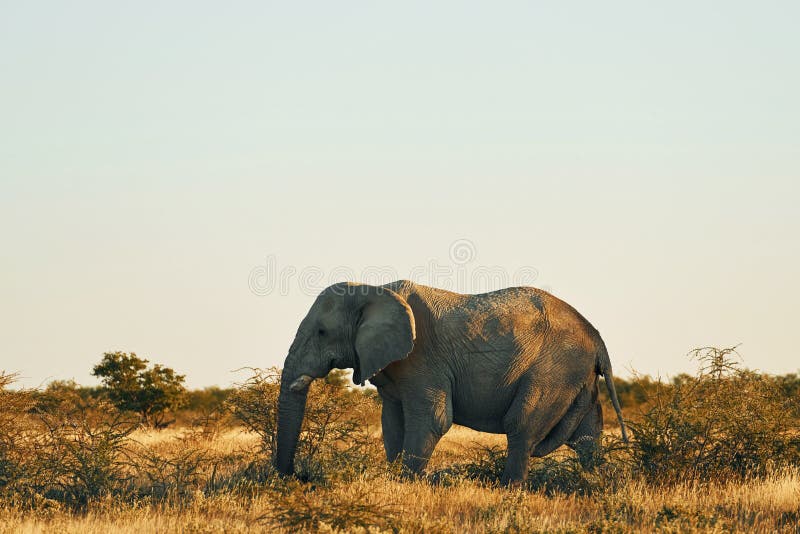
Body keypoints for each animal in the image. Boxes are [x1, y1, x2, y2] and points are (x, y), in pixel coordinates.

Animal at [274, 280, 628, 485]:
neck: (372, 289)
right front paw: (394, 480)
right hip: (573, 375)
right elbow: (392, 423)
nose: (294, 476)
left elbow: (433, 419)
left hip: (553, 370)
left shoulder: (422, 357)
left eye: (322, 332)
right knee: (587, 435)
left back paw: (510, 489)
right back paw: (593, 483)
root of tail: (597, 337)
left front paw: (408, 485)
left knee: (521, 427)